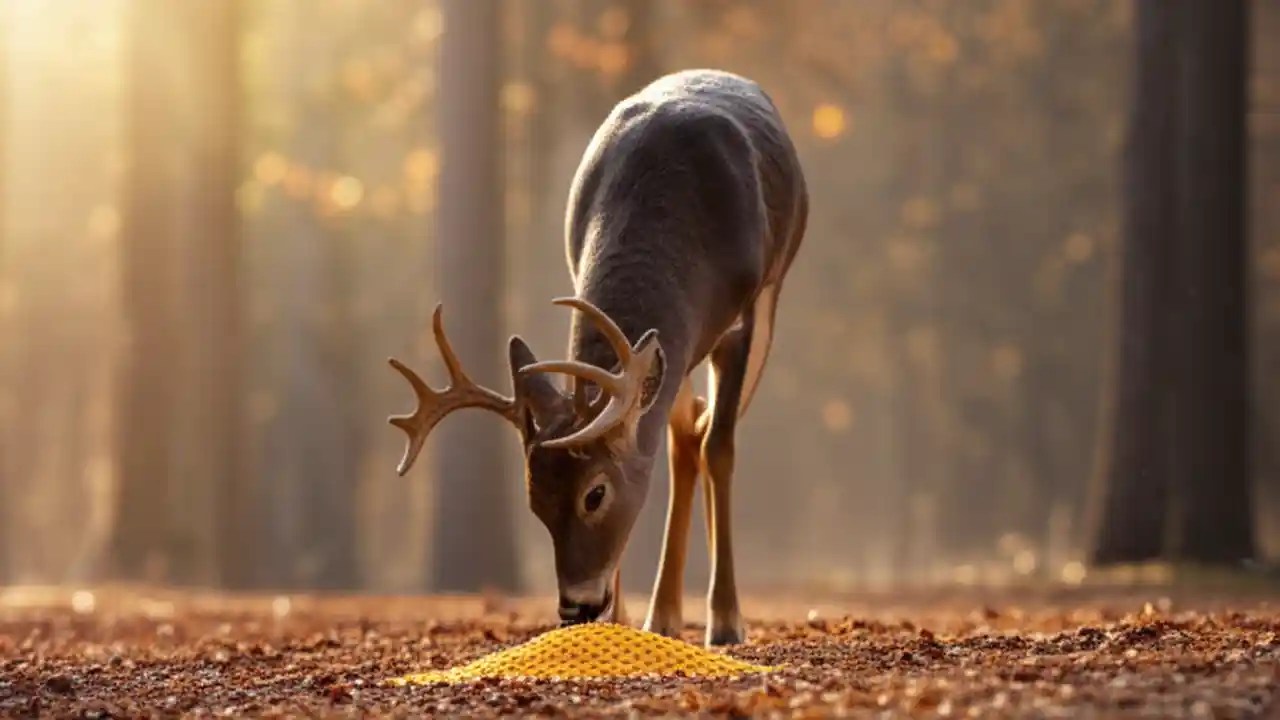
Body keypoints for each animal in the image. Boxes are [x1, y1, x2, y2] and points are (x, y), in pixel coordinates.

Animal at [387, 68, 807, 647]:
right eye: (534, 498)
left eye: (595, 493)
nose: (577, 606)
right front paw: (623, 618)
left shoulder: (743, 313)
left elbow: (721, 447)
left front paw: (726, 622)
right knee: (680, 439)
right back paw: (663, 613)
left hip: (772, 289)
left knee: (706, 438)